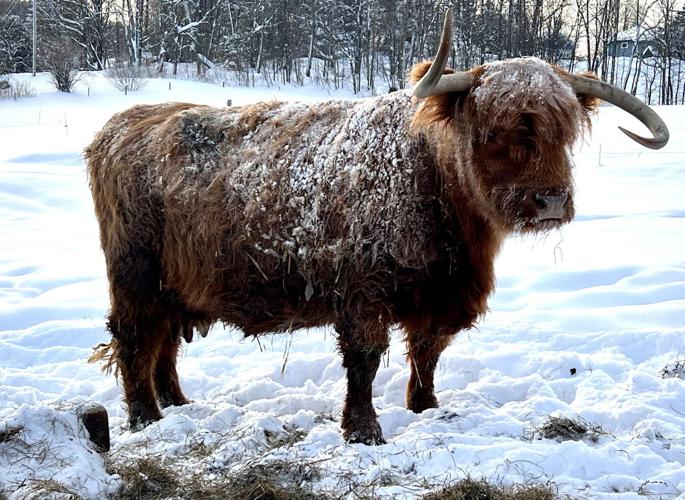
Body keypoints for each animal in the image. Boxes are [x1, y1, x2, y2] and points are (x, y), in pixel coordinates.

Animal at [86, 10, 668, 445]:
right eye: (493, 131)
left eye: (563, 131)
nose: (549, 200)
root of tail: (117, 127)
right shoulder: (363, 292)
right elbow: (364, 361)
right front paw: (364, 431)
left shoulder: (441, 297)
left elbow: (428, 352)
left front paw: (426, 406)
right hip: (135, 275)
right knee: (134, 338)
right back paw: (146, 418)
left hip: (174, 284)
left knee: (164, 341)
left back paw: (177, 403)